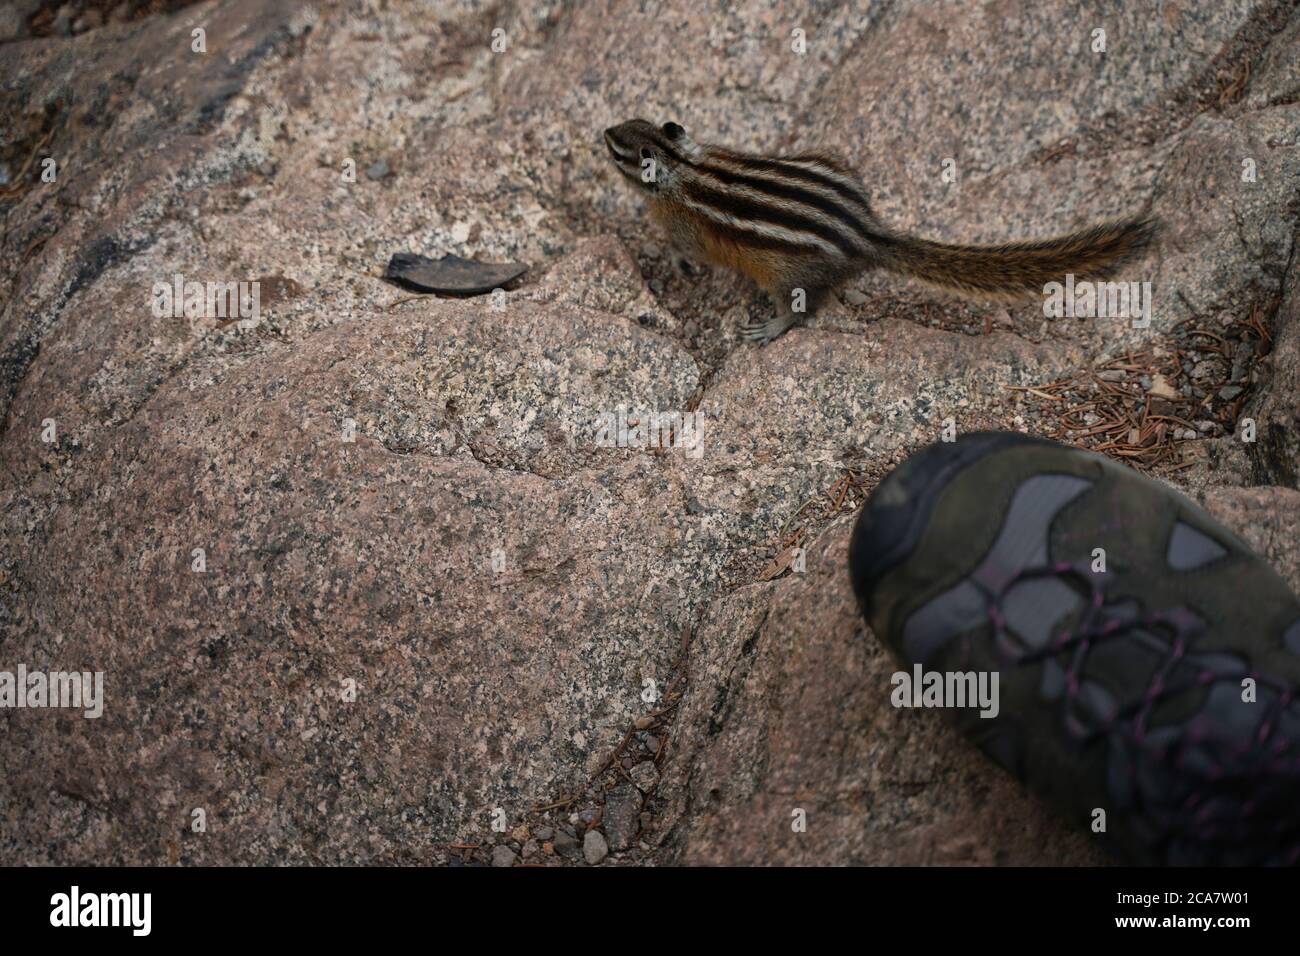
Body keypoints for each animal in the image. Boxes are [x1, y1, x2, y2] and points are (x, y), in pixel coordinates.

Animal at [603, 118, 1157, 343]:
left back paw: (772, 327)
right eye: (628, 124)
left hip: (785, 276)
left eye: (616, 150)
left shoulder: (684, 227)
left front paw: (675, 262)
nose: (601, 131)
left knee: (802, 309)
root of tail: (863, 230)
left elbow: (685, 250)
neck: (681, 166)